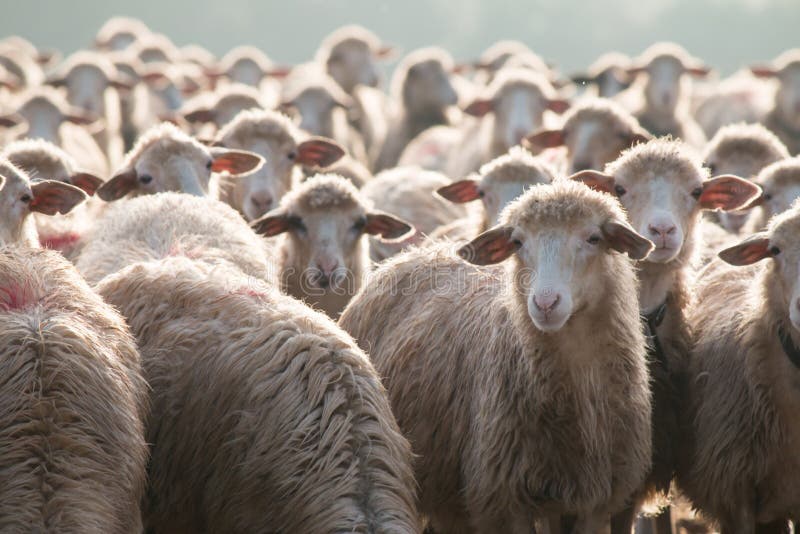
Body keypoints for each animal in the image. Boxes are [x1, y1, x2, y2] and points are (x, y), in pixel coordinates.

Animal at [339, 178, 654, 533]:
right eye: (517, 242)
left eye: (594, 238)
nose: (545, 303)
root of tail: (416, 252)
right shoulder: (504, 500)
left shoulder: (596, 500)